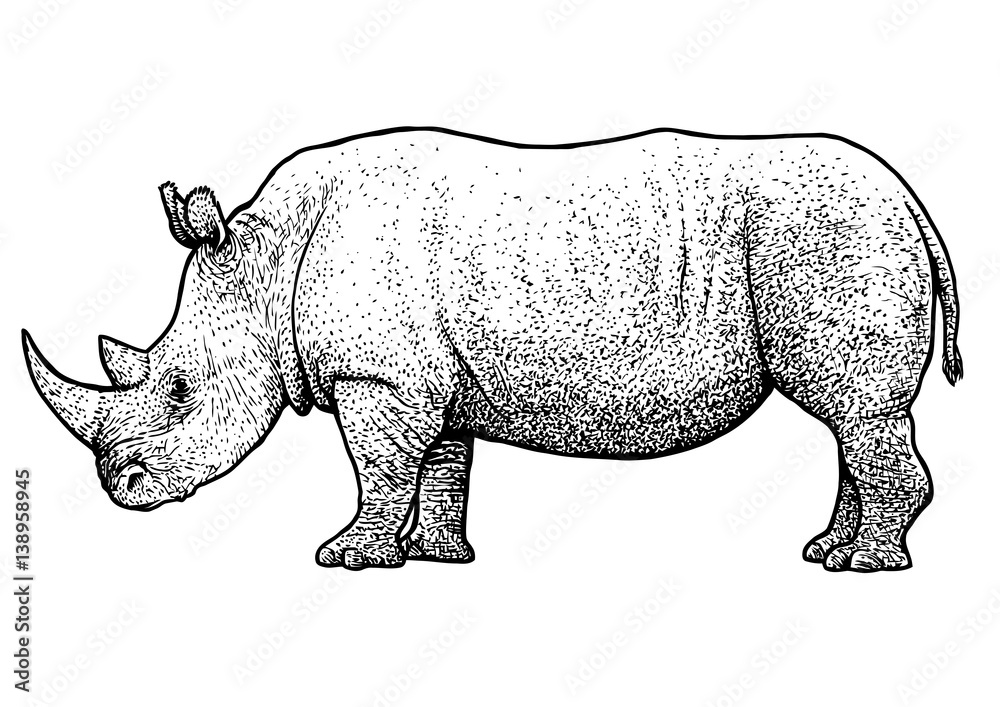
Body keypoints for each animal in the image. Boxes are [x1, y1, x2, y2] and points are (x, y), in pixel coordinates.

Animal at [23, 127, 962, 572]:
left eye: (180, 390)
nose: (120, 491)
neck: (266, 261)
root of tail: (913, 200)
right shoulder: (423, 378)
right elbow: (440, 463)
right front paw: (437, 556)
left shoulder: (378, 377)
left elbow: (378, 468)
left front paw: (348, 557)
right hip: (848, 229)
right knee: (851, 420)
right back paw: (827, 551)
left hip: (837, 233)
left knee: (858, 413)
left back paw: (863, 568)